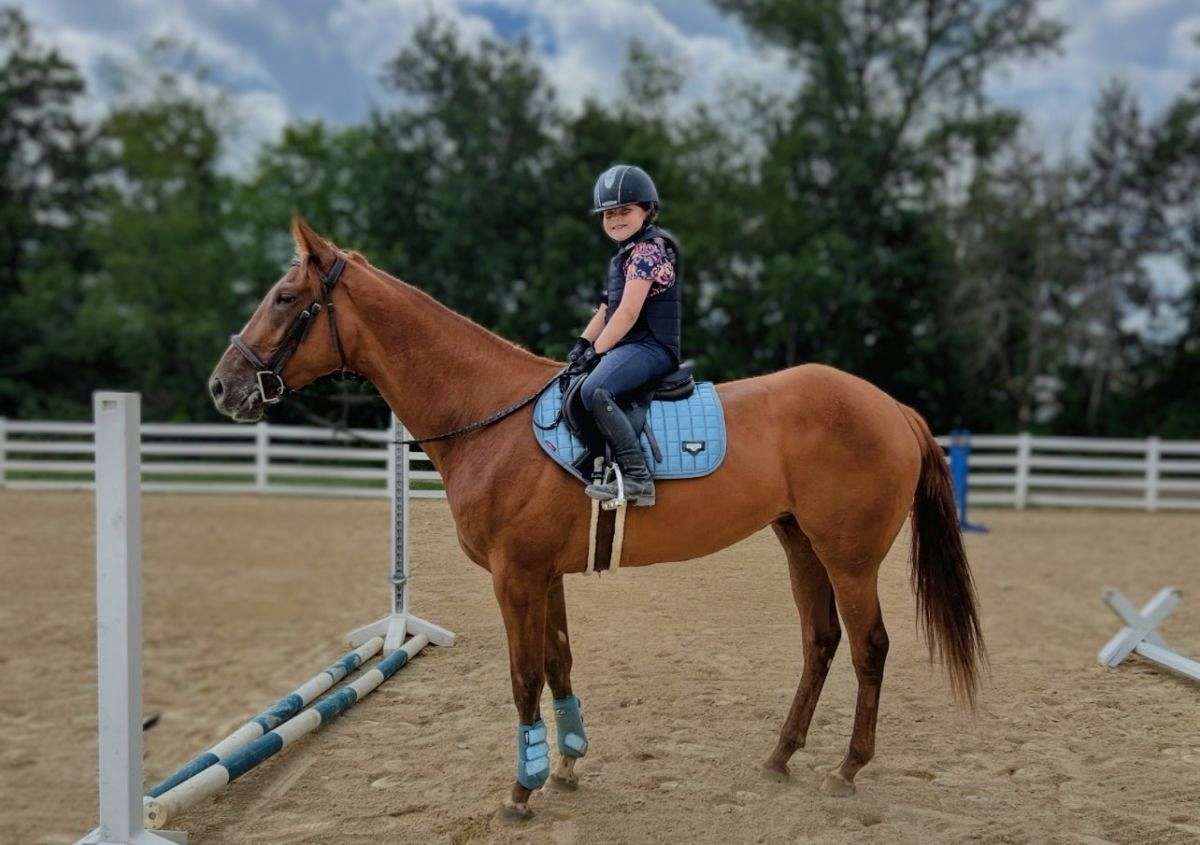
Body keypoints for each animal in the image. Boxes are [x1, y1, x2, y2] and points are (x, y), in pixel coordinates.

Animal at [208, 216, 984, 821]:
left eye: (284, 297)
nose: (223, 385)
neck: (491, 417)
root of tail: (892, 407)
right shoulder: (543, 574)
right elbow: (558, 662)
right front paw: (568, 763)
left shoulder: (515, 577)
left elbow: (523, 674)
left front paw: (522, 789)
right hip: (800, 542)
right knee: (820, 642)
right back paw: (781, 754)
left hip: (849, 557)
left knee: (869, 647)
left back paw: (848, 767)